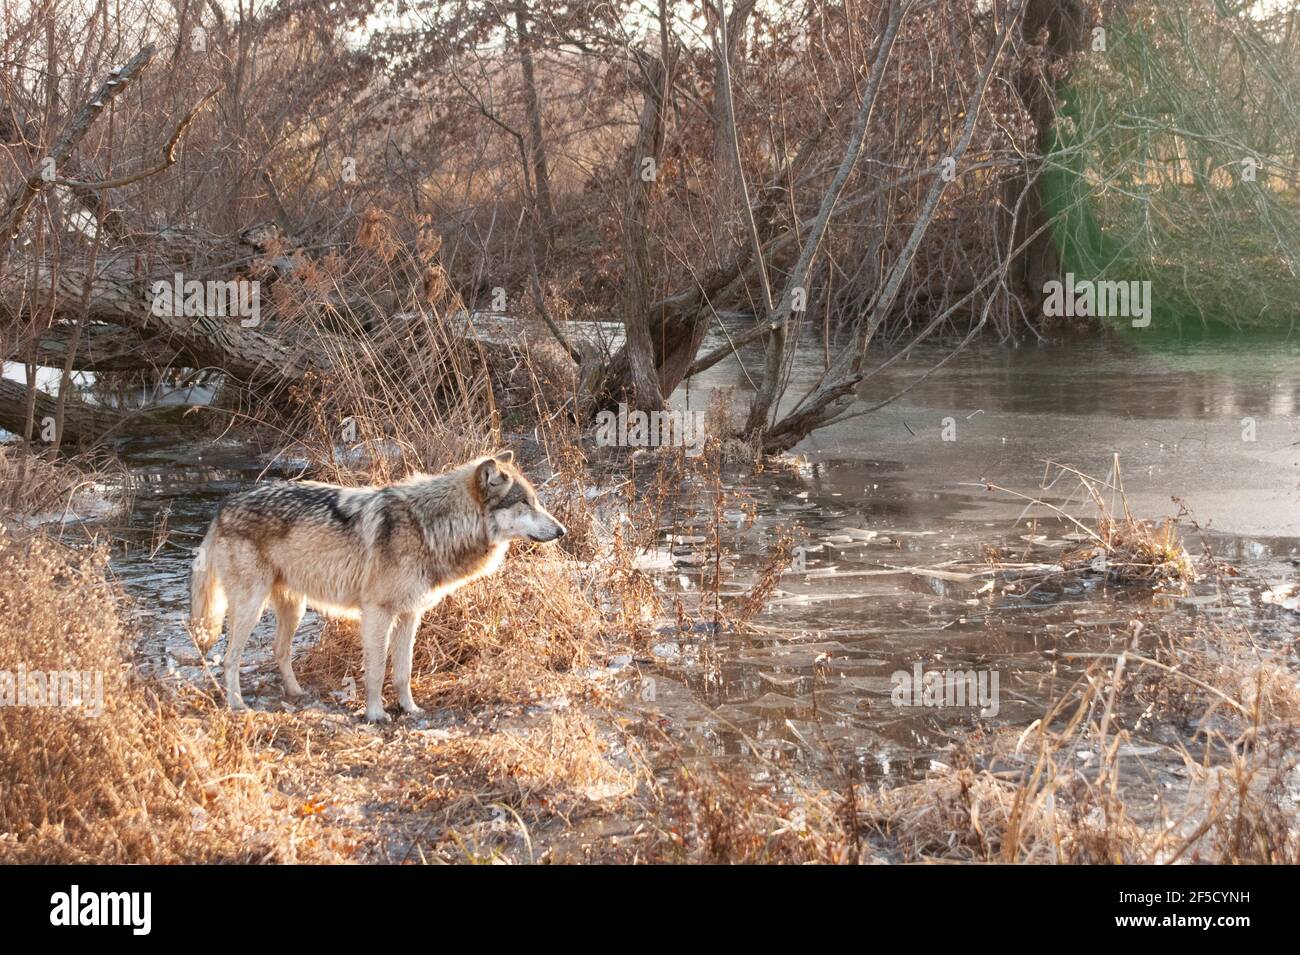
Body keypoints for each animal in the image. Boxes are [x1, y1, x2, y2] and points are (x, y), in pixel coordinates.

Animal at [189, 452, 565, 722]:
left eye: (536, 501)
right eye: (525, 503)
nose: (561, 531)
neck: (430, 527)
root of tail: (222, 507)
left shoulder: (410, 614)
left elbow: (402, 671)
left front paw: (410, 710)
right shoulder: (376, 613)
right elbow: (376, 669)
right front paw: (375, 714)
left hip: (293, 608)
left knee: (278, 650)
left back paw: (296, 694)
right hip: (250, 607)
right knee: (231, 659)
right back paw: (237, 705)